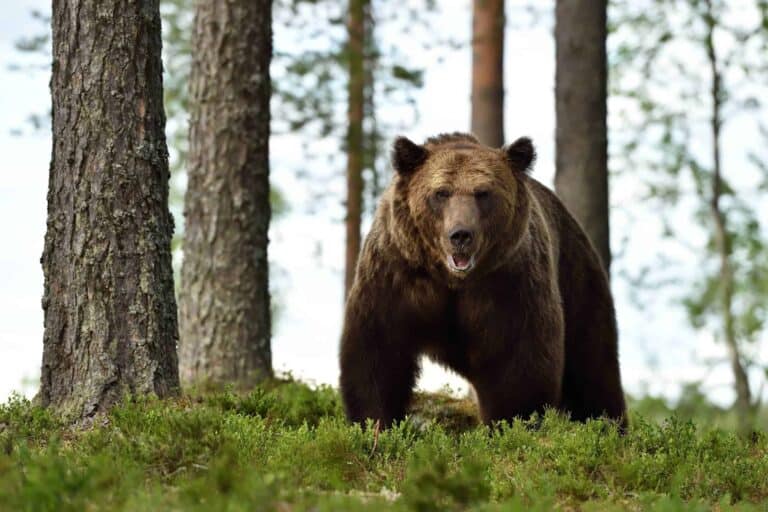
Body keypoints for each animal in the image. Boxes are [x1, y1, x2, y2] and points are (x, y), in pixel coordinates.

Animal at [339, 132, 626, 428]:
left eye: (483, 193)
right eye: (441, 193)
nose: (461, 235)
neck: (453, 281)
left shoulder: (510, 285)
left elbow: (519, 367)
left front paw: (512, 423)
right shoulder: (396, 276)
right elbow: (378, 355)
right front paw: (375, 423)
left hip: (576, 276)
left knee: (592, 362)